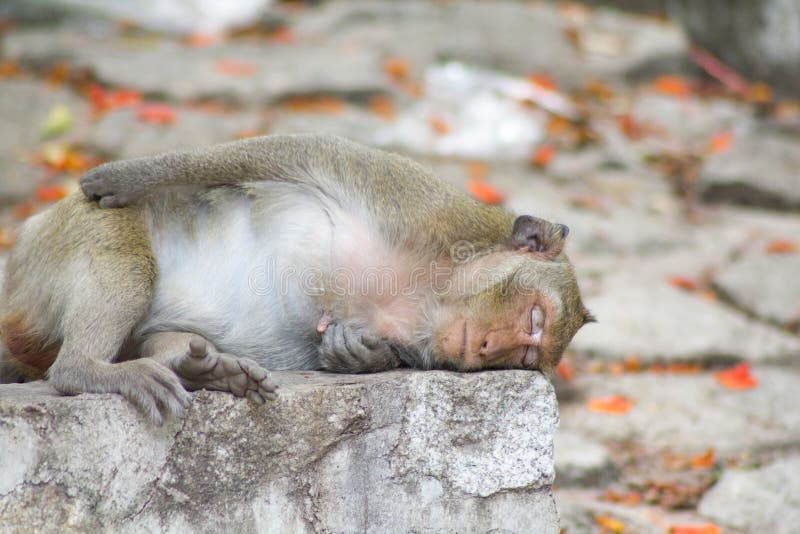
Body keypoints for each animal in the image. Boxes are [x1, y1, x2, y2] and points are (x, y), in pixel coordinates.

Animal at [0, 134, 594, 424]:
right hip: (59, 242)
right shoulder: (424, 206)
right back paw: (86, 370)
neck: (433, 288)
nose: (493, 346)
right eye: (533, 319)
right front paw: (123, 176)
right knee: (125, 265)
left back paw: (196, 364)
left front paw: (358, 353)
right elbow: (290, 152)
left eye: (524, 356)